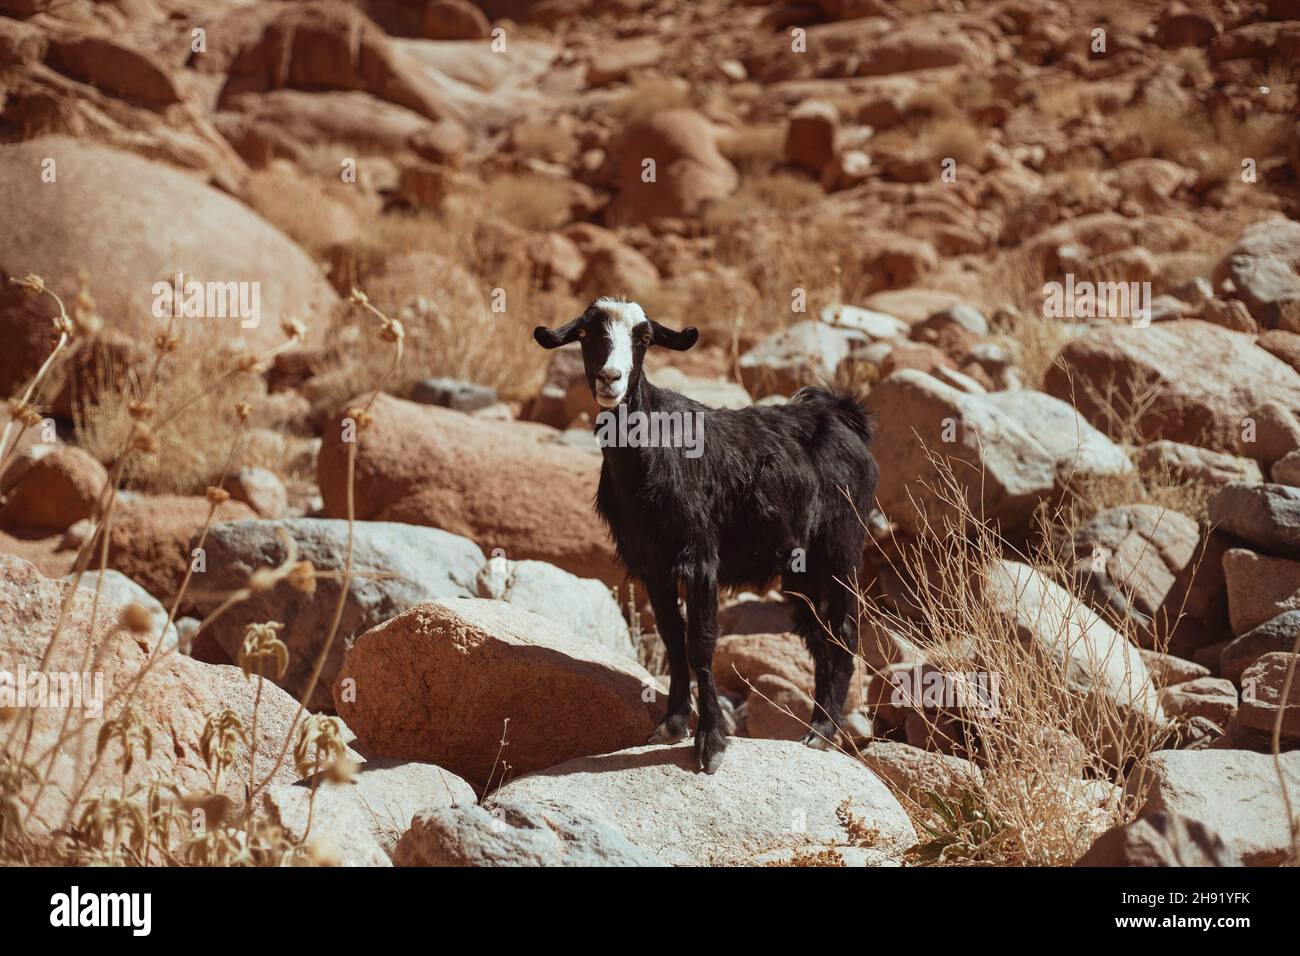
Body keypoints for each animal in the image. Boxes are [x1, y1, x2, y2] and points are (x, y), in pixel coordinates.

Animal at [534, 298, 879, 773]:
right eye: (585, 333)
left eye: (644, 337)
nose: (609, 378)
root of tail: (844, 418)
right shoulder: (652, 564)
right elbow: (671, 636)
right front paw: (673, 723)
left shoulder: (700, 557)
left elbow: (700, 642)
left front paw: (710, 741)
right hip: (800, 566)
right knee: (818, 633)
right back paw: (817, 726)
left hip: (840, 546)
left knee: (844, 630)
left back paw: (822, 733)